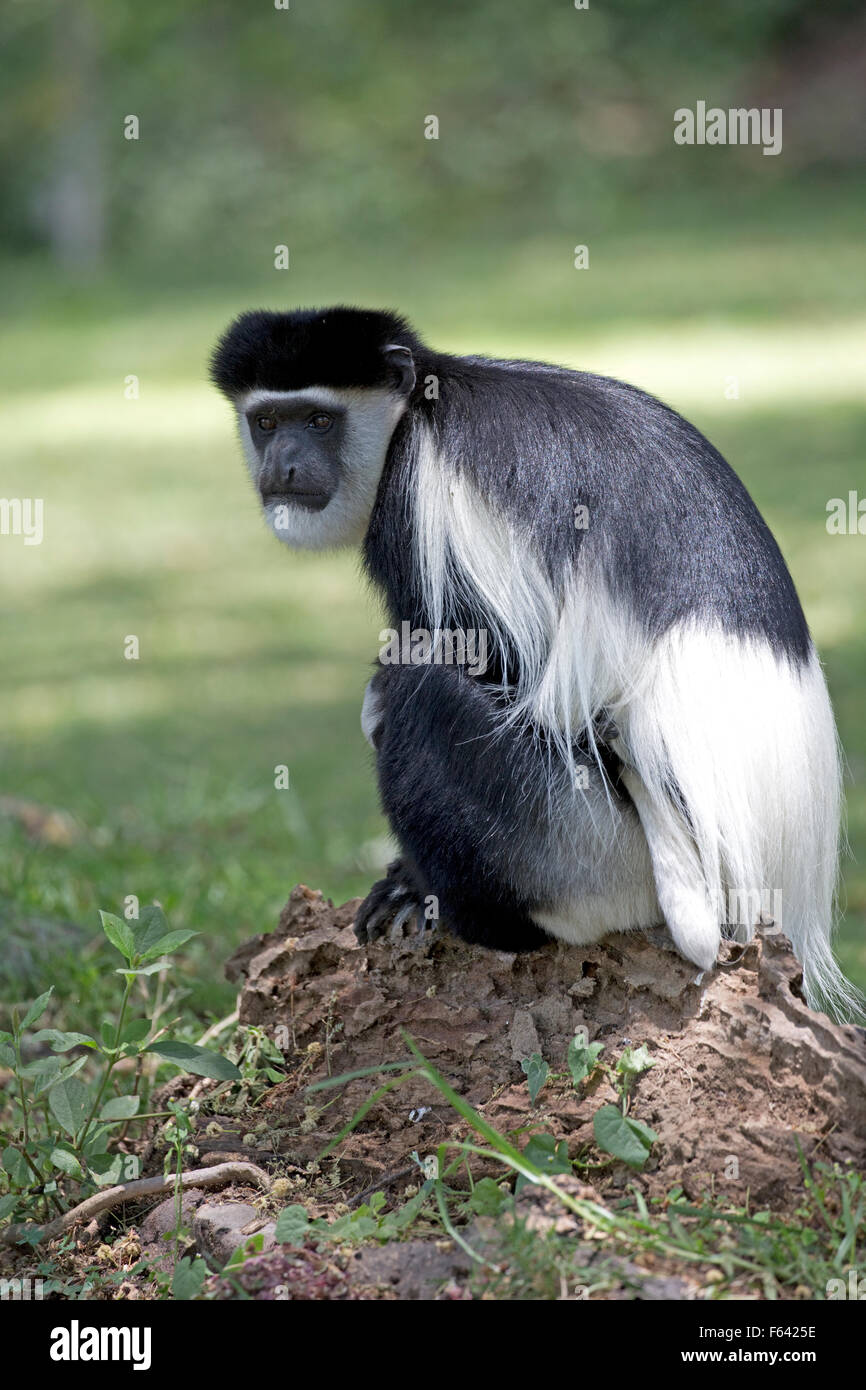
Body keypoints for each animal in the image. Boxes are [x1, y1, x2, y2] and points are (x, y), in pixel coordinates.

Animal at [211, 305, 860, 1022]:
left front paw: (408, 883)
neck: (418, 406)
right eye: (267, 422)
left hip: (594, 848)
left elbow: (480, 661)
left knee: (428, 695)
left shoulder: (423, 496)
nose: (284, 465)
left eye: (320, 420)